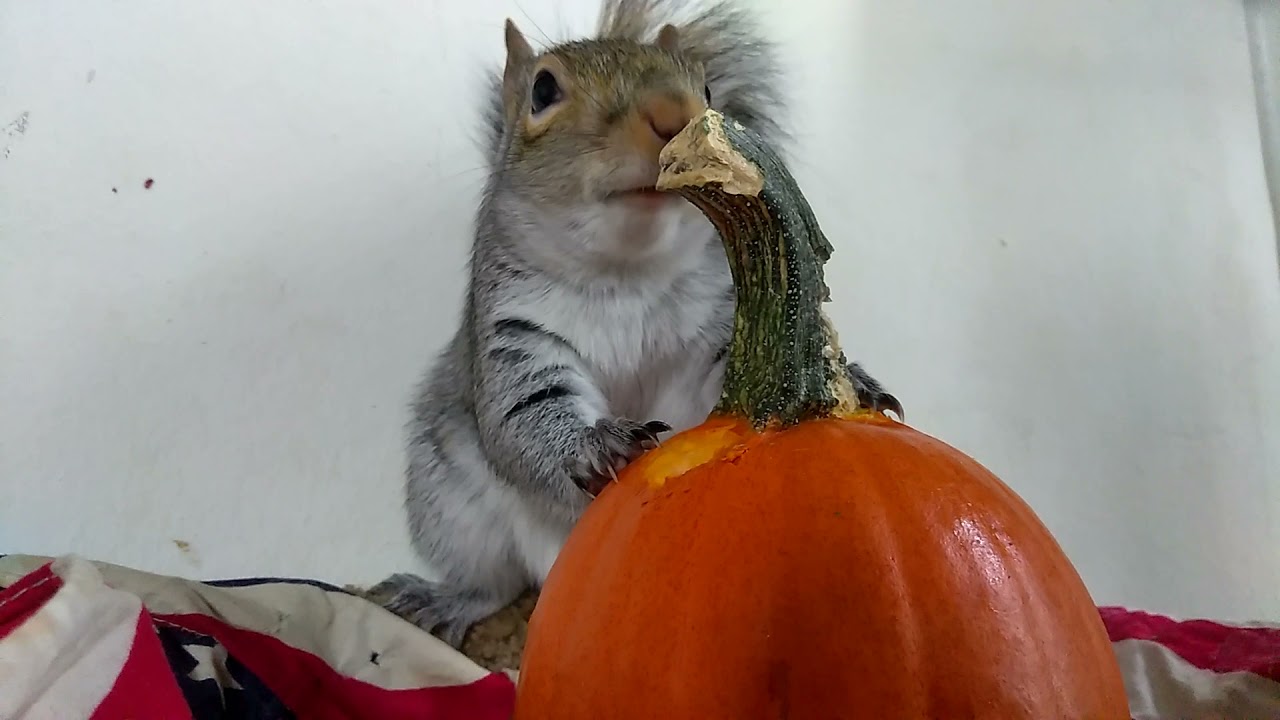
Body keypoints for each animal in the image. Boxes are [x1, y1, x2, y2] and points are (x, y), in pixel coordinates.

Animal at [370, 0, 903, 648]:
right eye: (542, 90)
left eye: (705, 87)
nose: (676, 115)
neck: (625, 274)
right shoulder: (512, 334)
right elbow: (522, 412)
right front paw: (596, 445)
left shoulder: (716, 329)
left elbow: (738, 386)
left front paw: (847, 384)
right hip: (452, 503)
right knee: (491, 581)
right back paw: (443, 600)